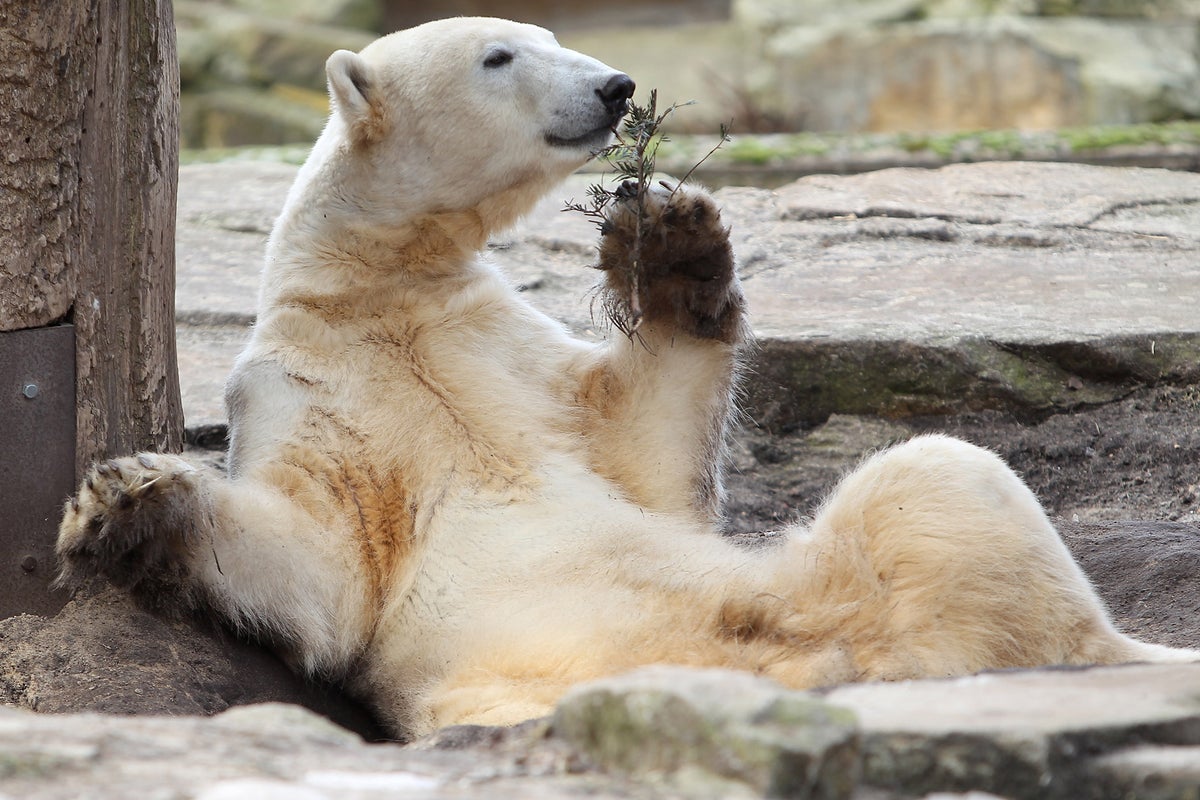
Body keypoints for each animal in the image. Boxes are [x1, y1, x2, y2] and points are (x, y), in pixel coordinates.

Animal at [56, 17, 1195, 740]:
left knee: (945, 481)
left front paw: (675, 242)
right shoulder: (303, 389)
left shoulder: (502, 348)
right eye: (501, 53)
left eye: (547, 33)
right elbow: (327, 576)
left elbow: (645, 450)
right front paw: (128, 499)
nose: (611, 87)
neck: (377, 293)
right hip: (510, 691)